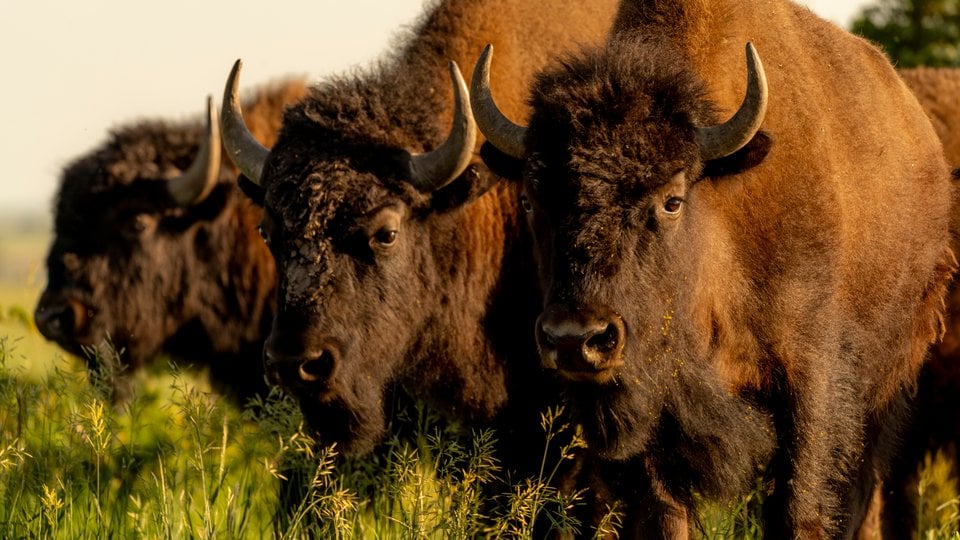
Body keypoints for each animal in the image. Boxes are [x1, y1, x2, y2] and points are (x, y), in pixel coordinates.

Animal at [473, 0, 955, 536]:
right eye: (530, 200)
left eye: (672, 201)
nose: (576, 338)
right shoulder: (659, 413)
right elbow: (666, 512)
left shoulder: (813, 383)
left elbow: (799, 506)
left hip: (890, 381)